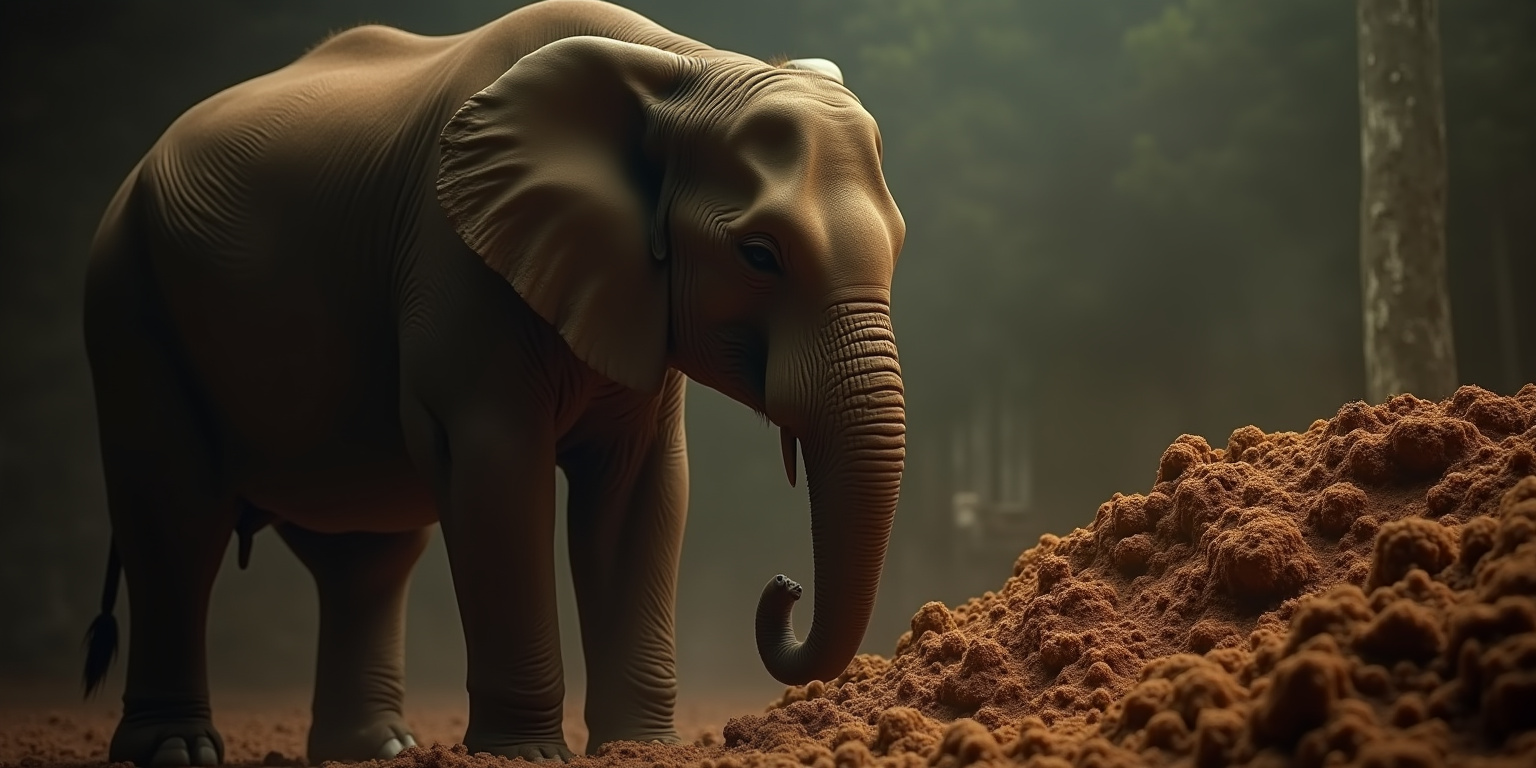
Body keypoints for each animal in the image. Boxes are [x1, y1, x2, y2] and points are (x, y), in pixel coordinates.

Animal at [77, 0, 906, 764]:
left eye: (899, 243)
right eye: (759, 255)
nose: (783, 586)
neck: (679, 66)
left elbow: (640, 488)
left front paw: (640, 750)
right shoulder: (454, 262)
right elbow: (500, 471)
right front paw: (525, 756)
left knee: (365, 556)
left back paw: (376, 751)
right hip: (129, 301)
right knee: (176, 513)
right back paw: (175, 751)